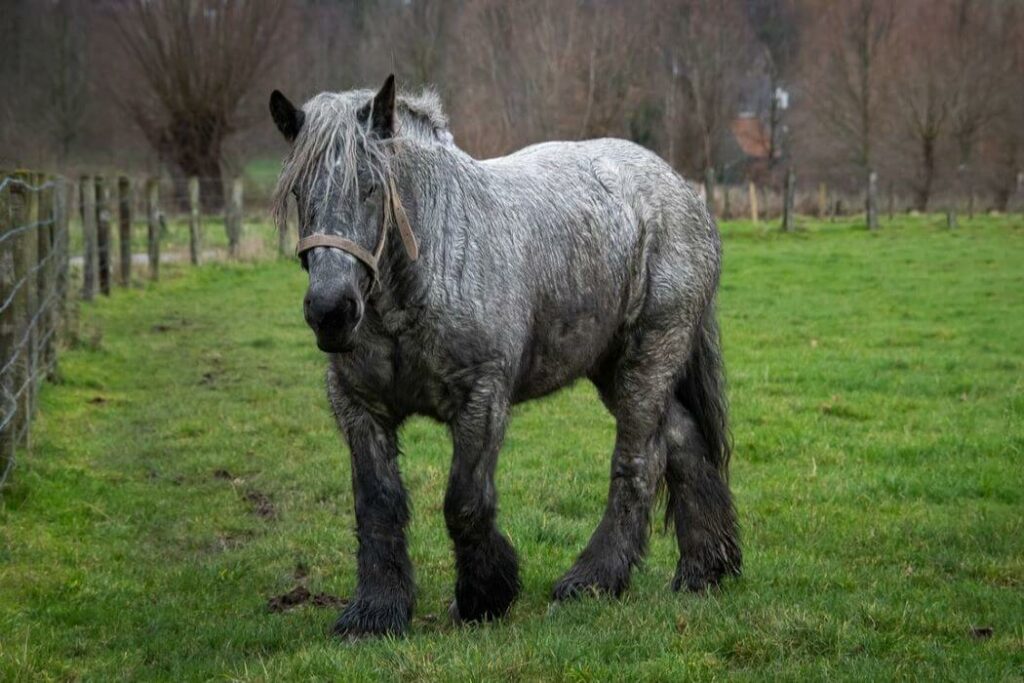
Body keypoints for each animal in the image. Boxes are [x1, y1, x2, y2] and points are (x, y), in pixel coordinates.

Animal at [269, 75, 740, 638]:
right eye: (300, 191)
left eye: (371, 186)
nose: (331, 310)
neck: (433, 264)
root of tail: (680, 189)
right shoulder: (359, 408)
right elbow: (377, 503)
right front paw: (375, 611)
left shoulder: (482, 398)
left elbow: (464, 501)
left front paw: (483, 597)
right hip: (615, 367)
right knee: (685, 443)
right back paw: (705, 569)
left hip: (649, 359)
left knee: (640, 462)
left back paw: (593, 580)